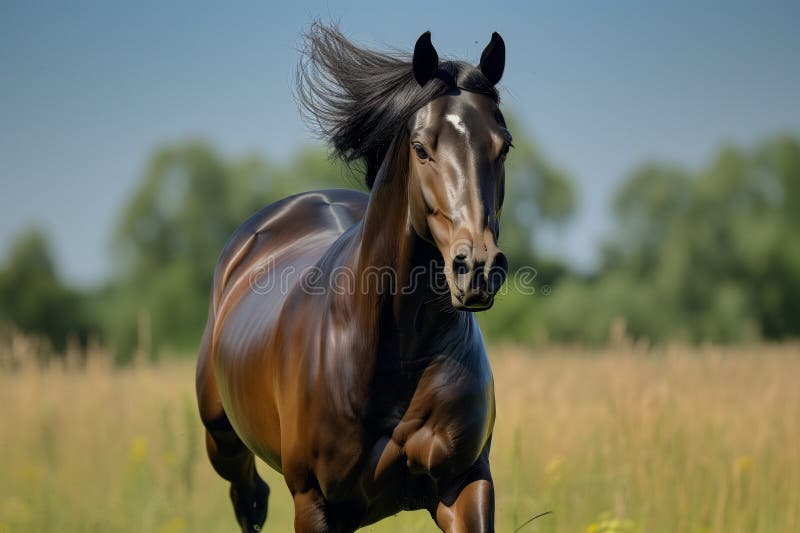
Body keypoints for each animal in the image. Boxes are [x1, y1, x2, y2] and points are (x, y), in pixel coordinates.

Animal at [196, 24, 512, 532]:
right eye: (421, 148)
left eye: (504, 146)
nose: (478, 268)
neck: (395, 353)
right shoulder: (316, 502)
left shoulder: (465, 482)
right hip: (220, 437)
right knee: (248, 497)